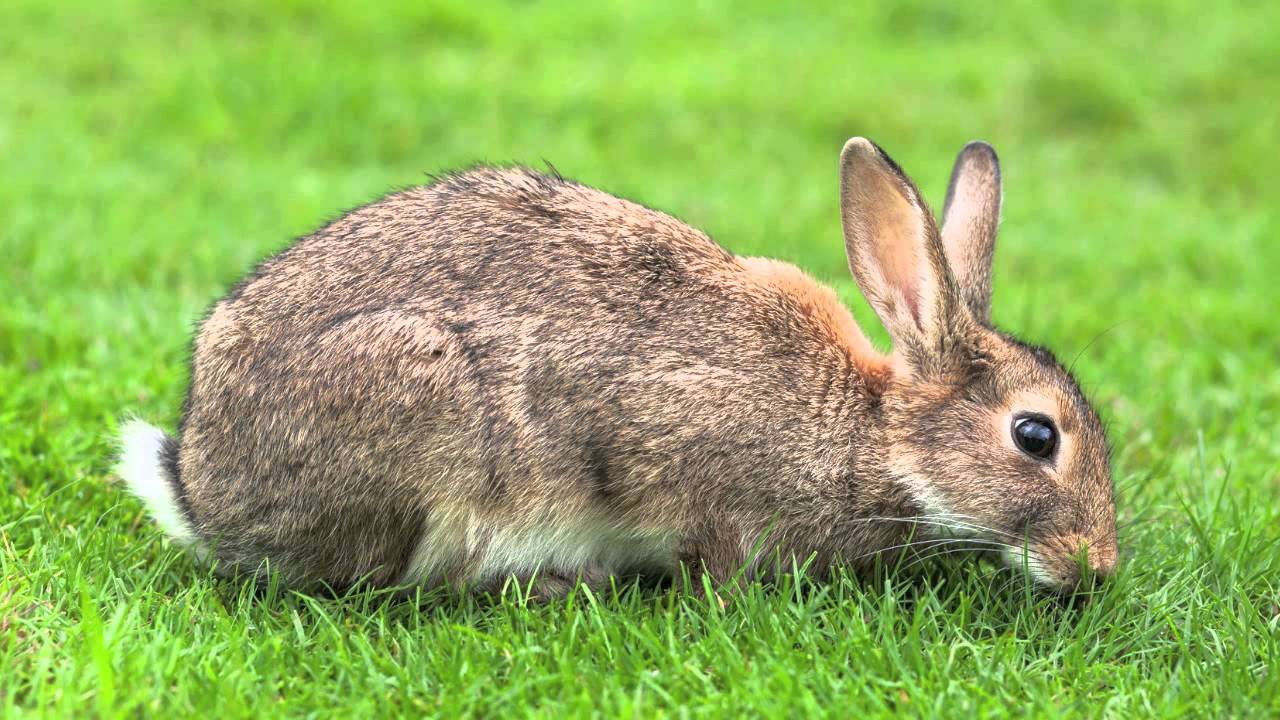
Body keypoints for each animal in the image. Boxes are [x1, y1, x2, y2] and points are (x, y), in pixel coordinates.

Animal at [117, 137, 1118, 597]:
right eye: (1036, 435)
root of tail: (201, 487)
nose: (1098, 566)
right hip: (421, 425)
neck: (875, 434)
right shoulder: (683, 456)